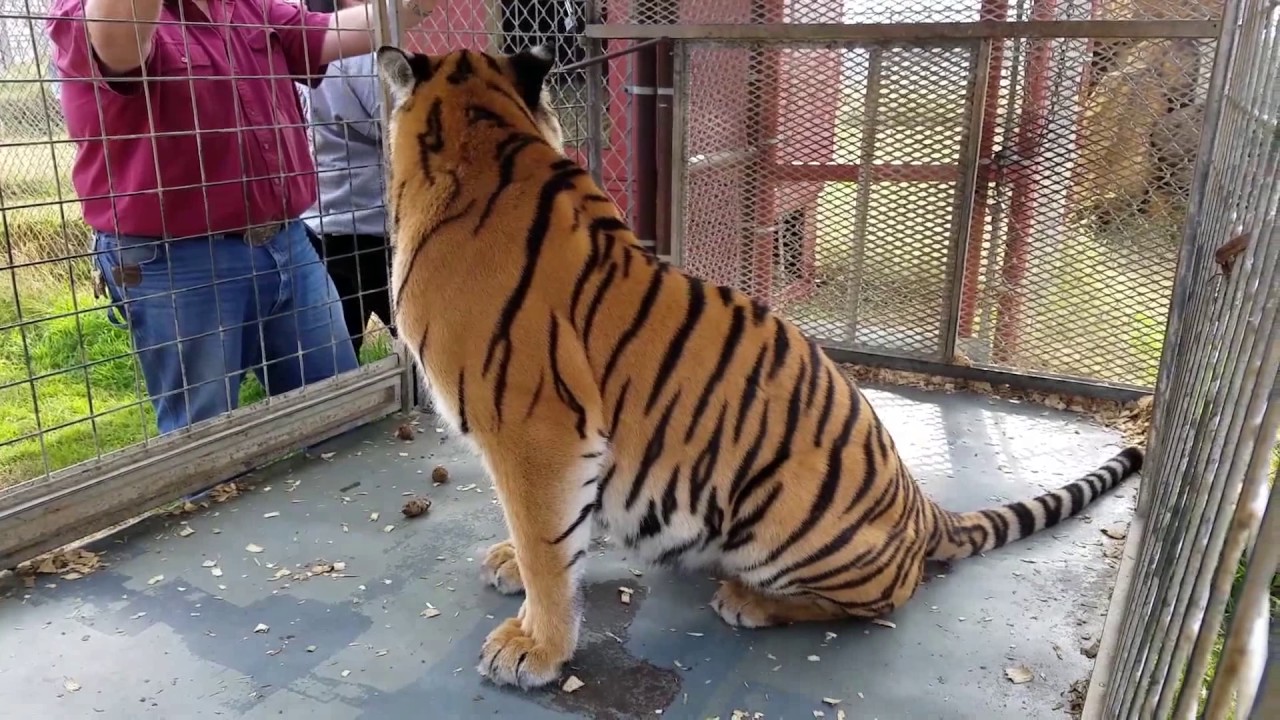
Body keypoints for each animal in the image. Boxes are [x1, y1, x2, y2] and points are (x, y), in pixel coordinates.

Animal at [373, 44, 1145, 690]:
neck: (489, 136)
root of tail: (922, 506)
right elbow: (562, 533)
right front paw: (517, 569)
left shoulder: (537, 434)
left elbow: (546, 542)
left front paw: (536, 647)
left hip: (785, 516)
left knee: (883, 598)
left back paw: (748, 600)